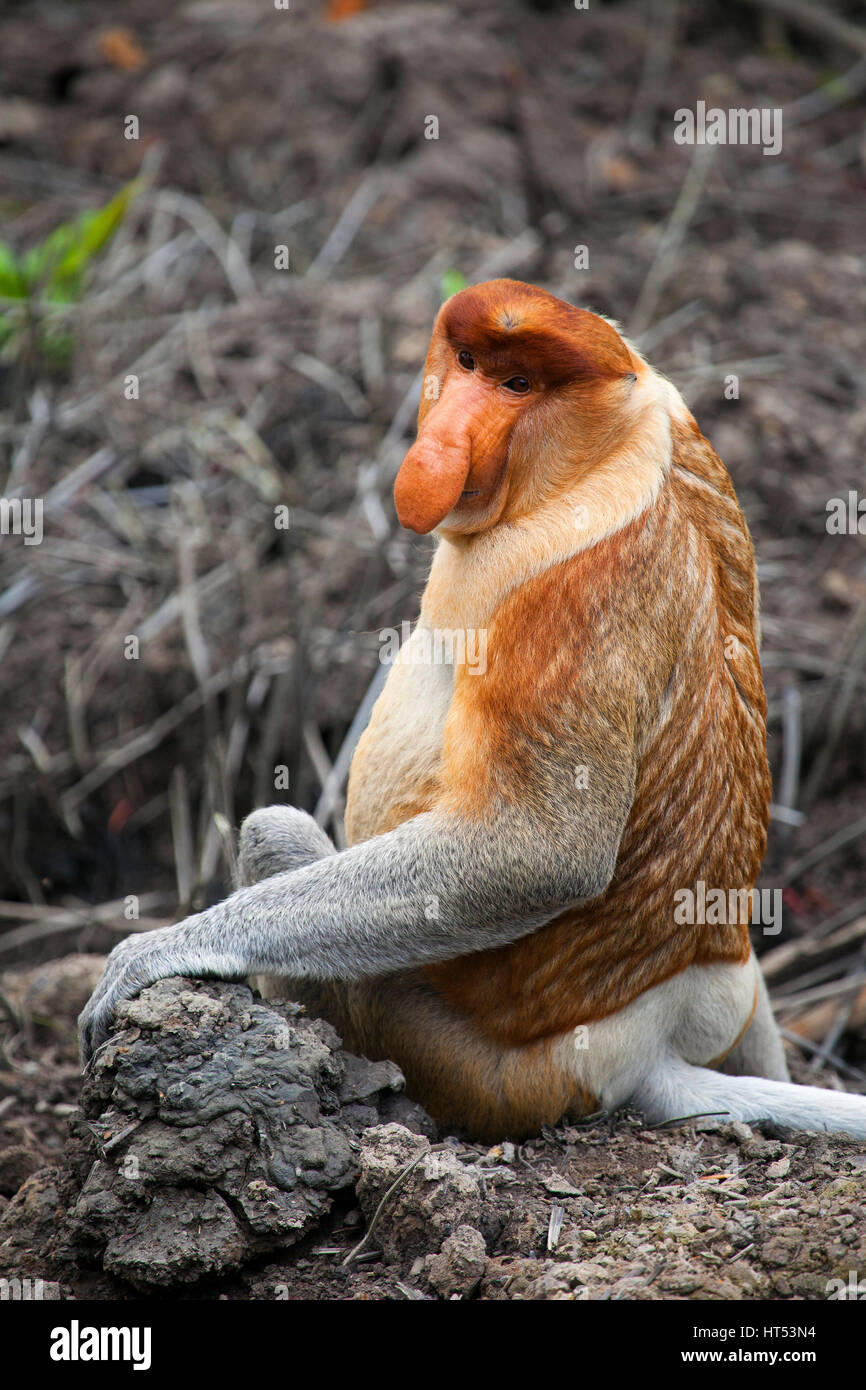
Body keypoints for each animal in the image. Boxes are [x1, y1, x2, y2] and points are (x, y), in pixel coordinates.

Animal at [79, 278, 866, 1143]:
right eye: (466, 362)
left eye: (517, 385)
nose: (442, 442)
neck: (608, 453)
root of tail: (643, 1047)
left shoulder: (573, 593)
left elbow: (539, 851)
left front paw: (153, 953)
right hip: (722, 996)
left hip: (459, 1058)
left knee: (275, 836)